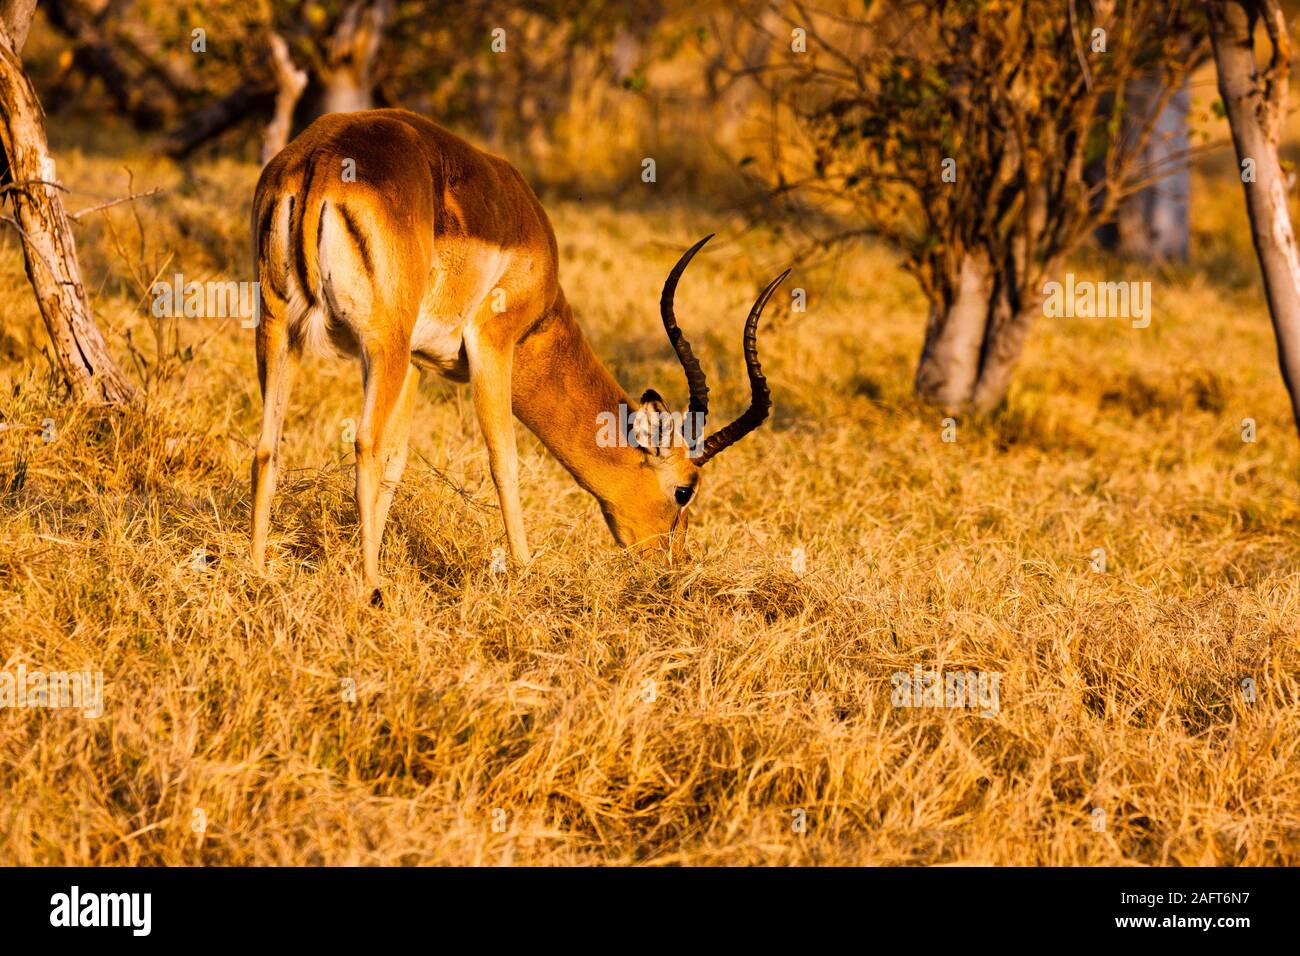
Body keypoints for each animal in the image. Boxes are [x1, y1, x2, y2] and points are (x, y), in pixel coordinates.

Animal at [250, 109, 786, 603]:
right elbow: (503, 461)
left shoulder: (418, 364)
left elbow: (396, 465)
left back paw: (257, 573)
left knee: (267, 447)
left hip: (281, 329)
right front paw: (528, 572)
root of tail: (321, 157)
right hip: (383, 343)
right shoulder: (493, 344)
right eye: (684, 488)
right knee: (364, 442)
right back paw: (371, 589)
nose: (672, 563)